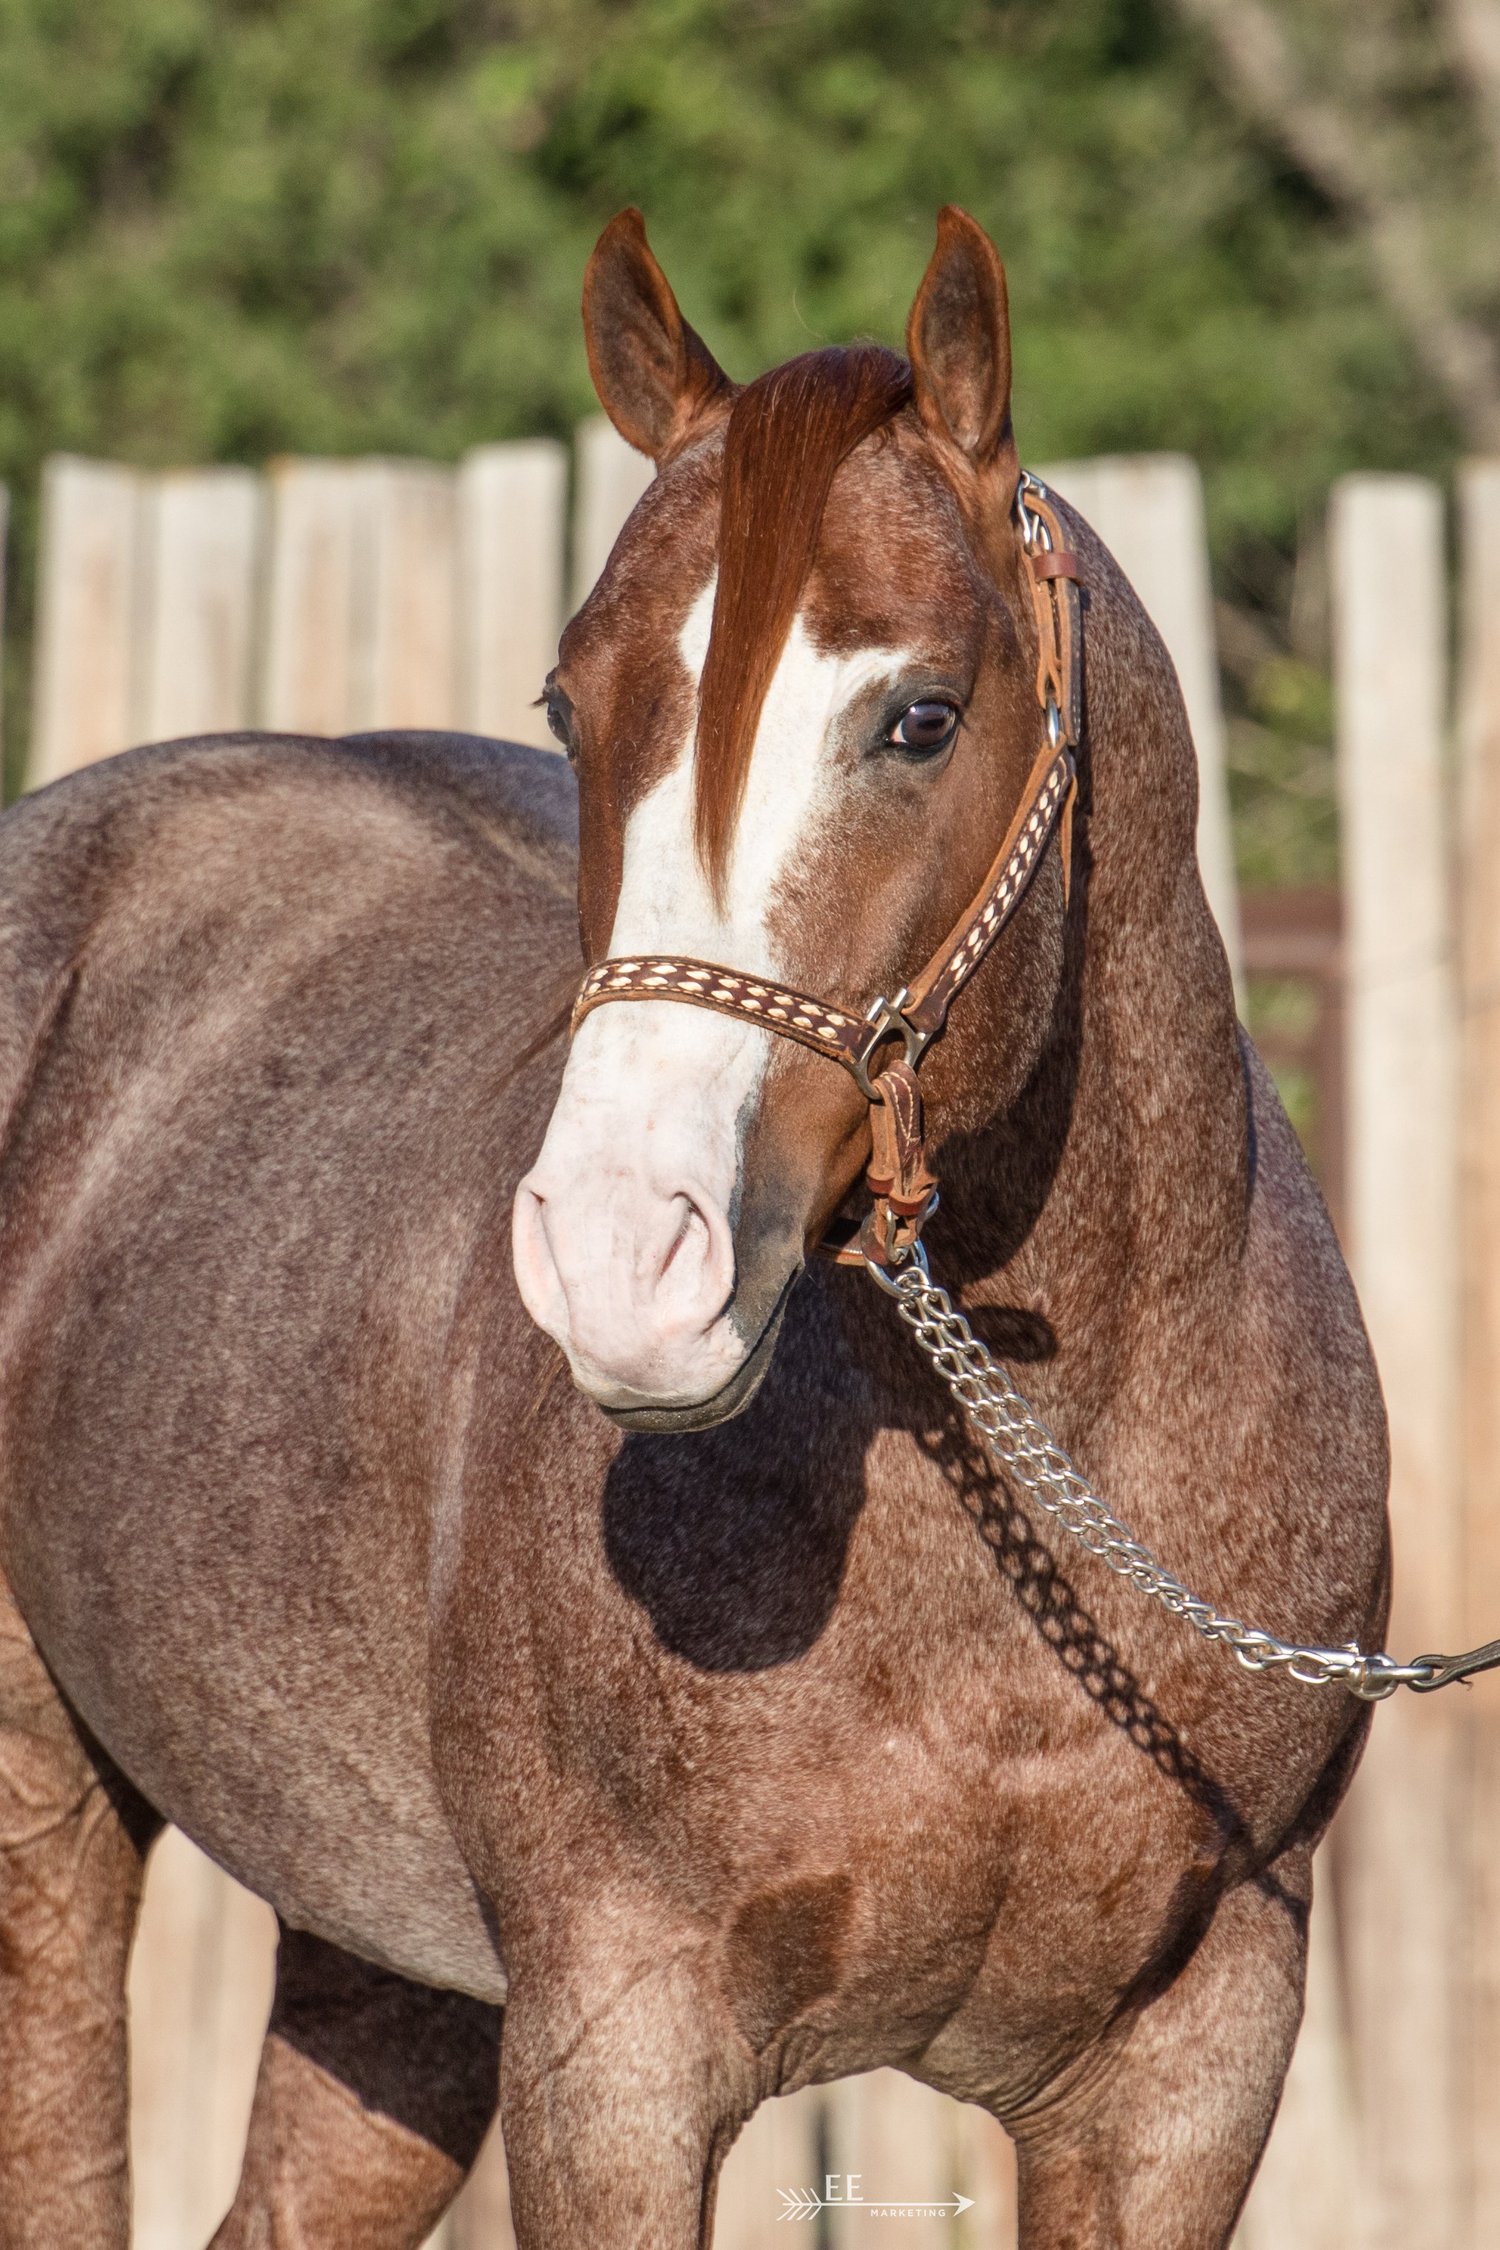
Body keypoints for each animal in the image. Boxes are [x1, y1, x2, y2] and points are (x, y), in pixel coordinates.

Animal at [0, 205, 1388, 2249]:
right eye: (571, 707)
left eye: (920, 716)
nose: (618, 1267)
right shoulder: (619, 2049)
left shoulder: (1193, 2068)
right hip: (53, 1810)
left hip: (382, 1964)